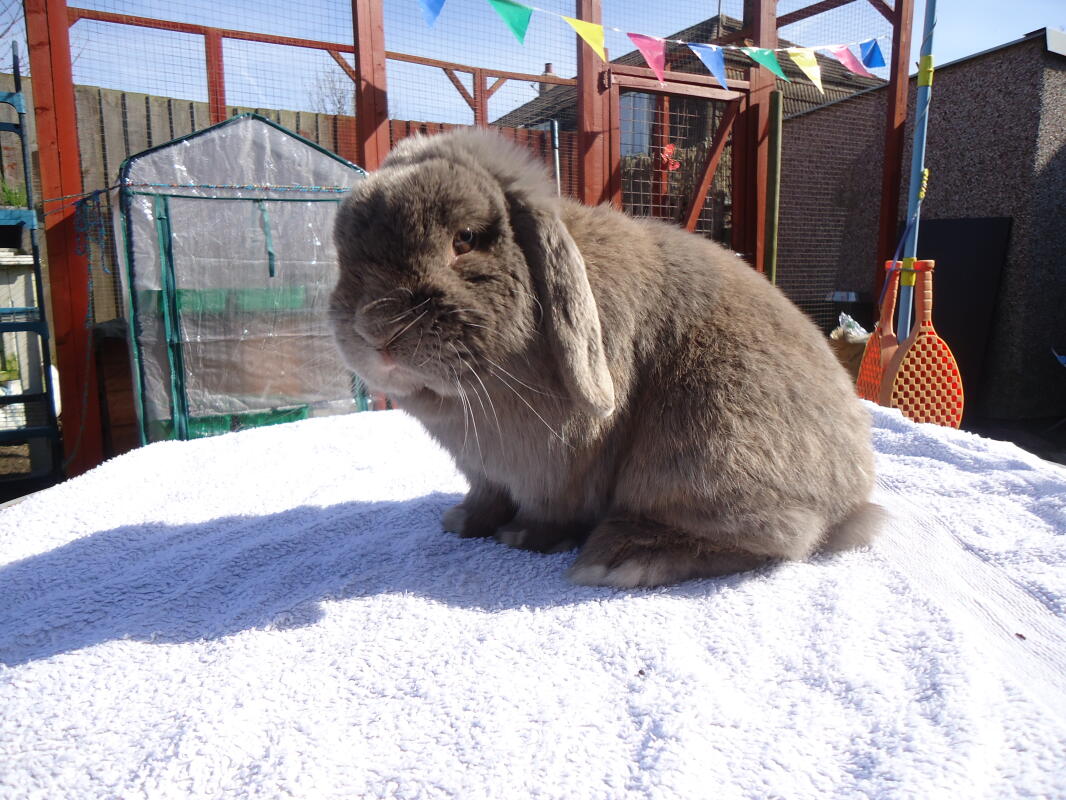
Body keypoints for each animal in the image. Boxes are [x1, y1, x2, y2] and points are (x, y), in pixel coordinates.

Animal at [330, 128, 883, 588]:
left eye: (464, 239)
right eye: (345, 250)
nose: (376, 327)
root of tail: (853, 496)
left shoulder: (554, 471)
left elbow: (546, 512)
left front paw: (522, 538)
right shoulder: (485, 471)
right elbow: (485, 498)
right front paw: (463, 523)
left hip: (709, 436)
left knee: (781, 532)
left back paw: (625, 556)